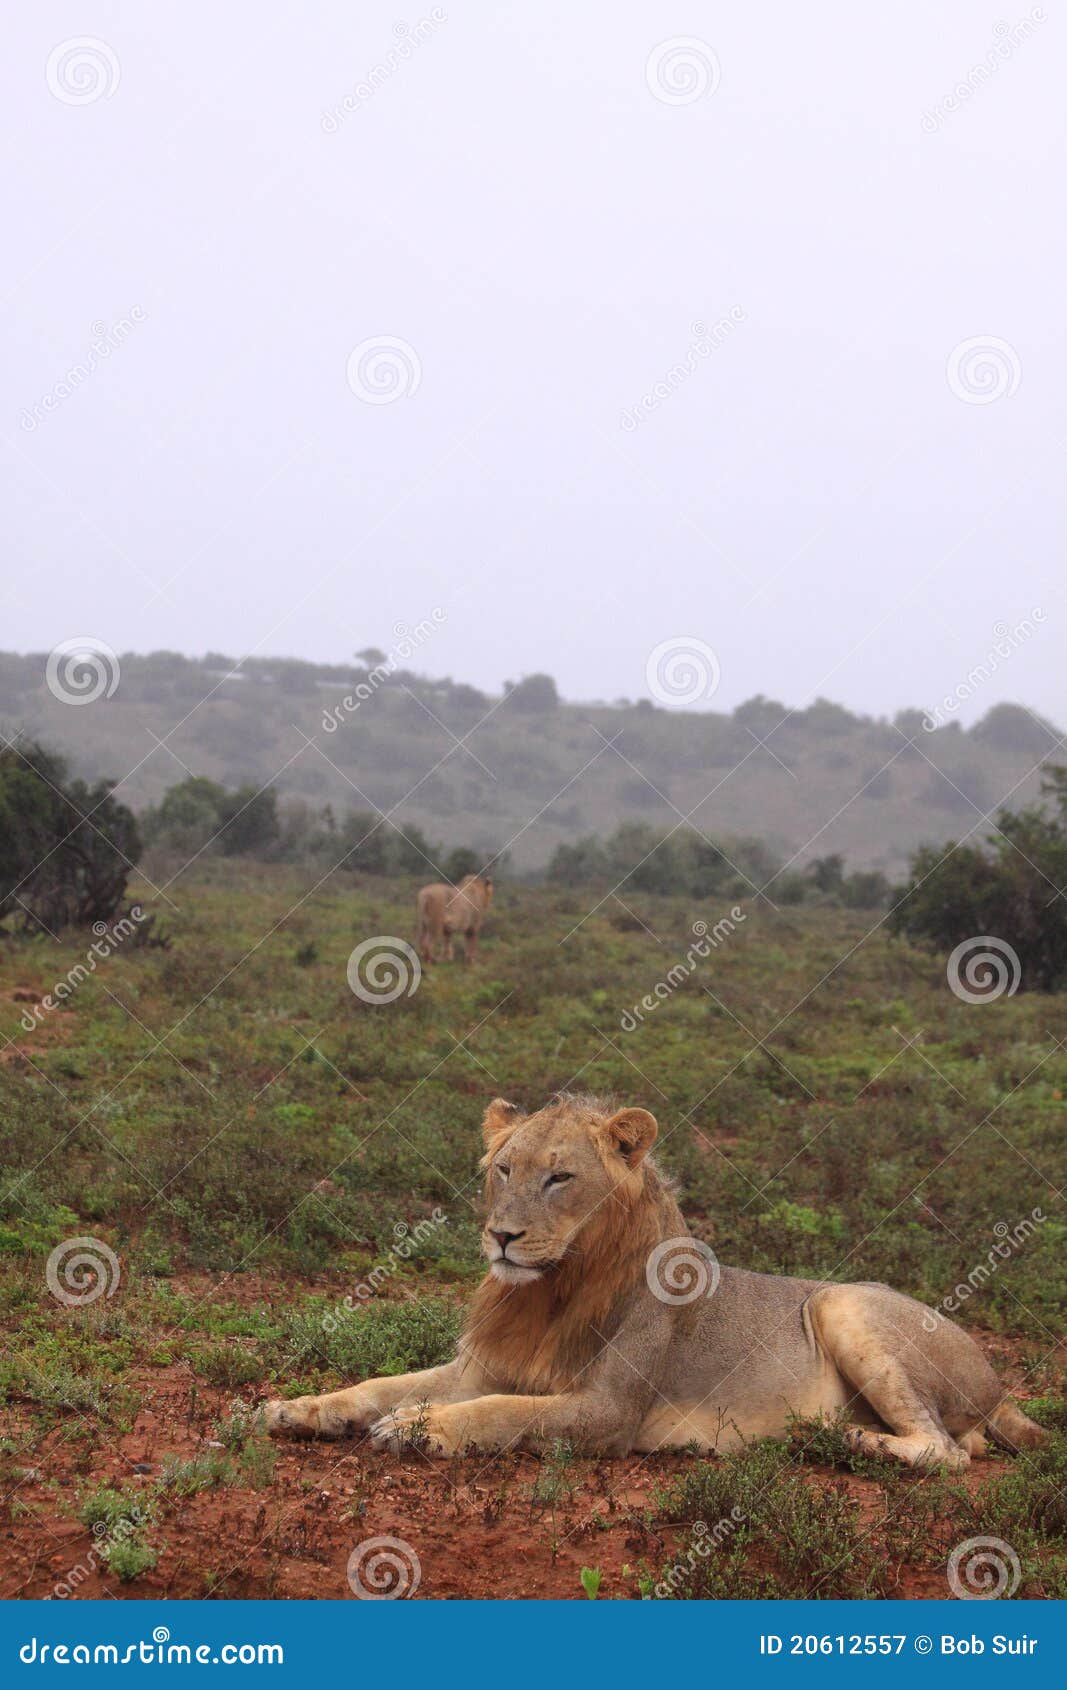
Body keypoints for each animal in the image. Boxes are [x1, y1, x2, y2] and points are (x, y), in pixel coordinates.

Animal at [265, 1093, 1046, 1469]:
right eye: (503, 1169)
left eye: (559, 1177)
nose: (501, 1236)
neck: (549, 1288)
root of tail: (997, 1380)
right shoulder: (480, 1366)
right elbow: (378, 1385)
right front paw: (298, 1409)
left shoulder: (608, 1411)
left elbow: (499, 1414)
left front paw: (417, 1428)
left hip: (840, 1300)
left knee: (949, 1451)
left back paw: (844, 1441)